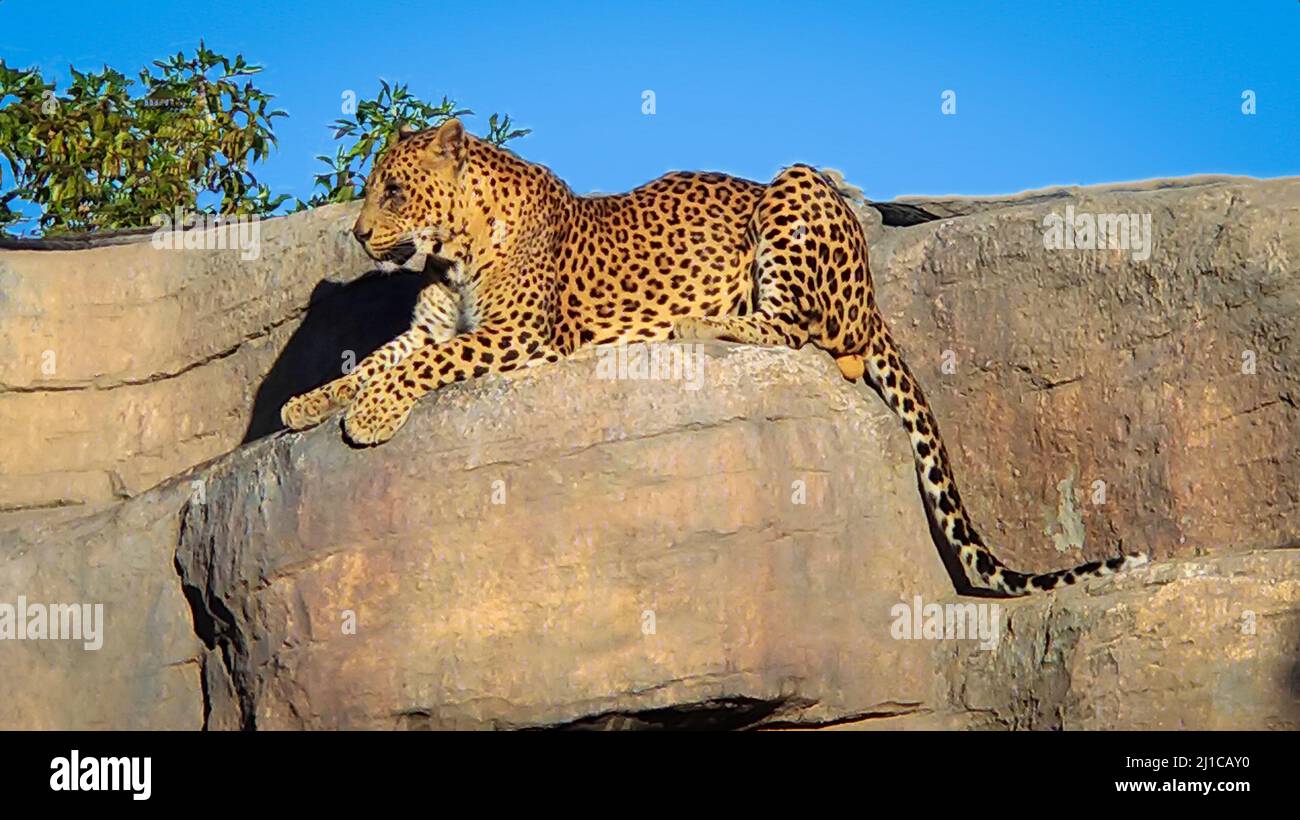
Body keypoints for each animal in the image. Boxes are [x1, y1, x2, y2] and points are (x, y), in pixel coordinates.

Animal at [280, 118, 1148, 596]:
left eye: (393, 189)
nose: (357, 233)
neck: (454, 251)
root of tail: (873, 286)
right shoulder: (433, 326)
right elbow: (377, 356)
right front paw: (307, 403)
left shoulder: (523, 337)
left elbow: (419, 367)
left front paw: (371, 415)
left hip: (795, 191)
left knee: (813, 338)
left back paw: (707, 323)